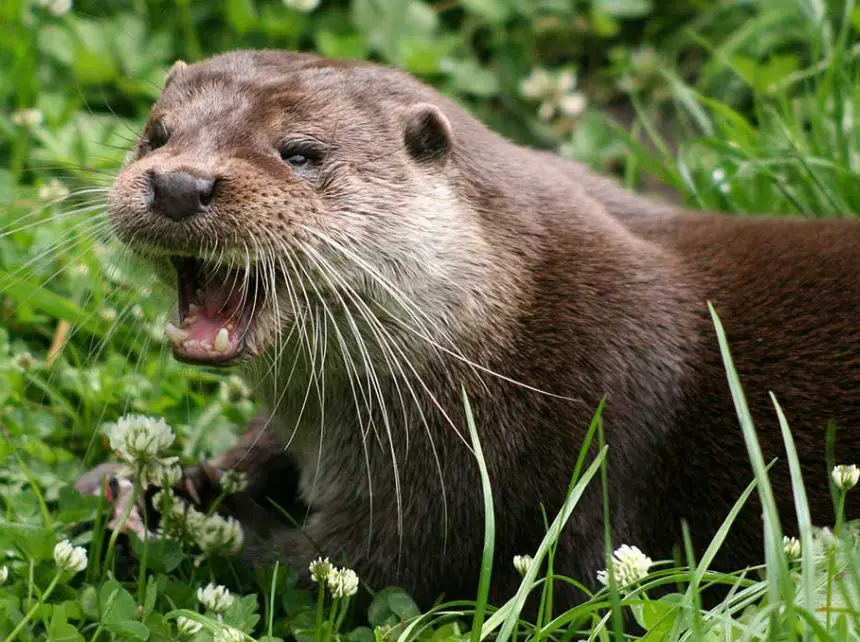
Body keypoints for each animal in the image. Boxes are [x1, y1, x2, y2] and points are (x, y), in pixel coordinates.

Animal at [92, 49, 858, 609]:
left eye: (300, 153)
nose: (178, 184)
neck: (503, 349)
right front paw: (156, 475)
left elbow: (317, 567)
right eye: (154, 135)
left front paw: (158, 512)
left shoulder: (489, 483)